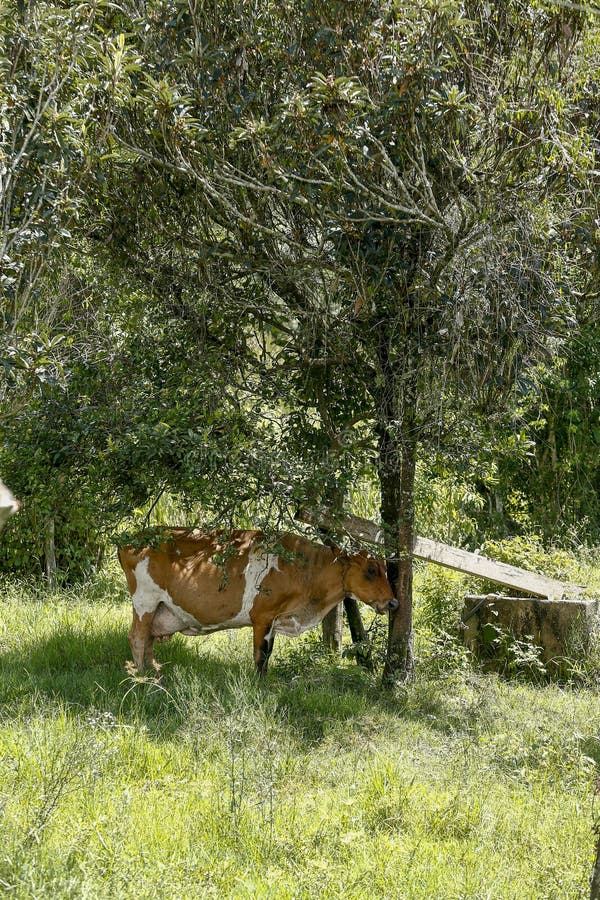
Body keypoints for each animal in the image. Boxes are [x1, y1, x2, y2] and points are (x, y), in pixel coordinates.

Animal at [118, 528, 397, 675]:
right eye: (371, 570)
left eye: (385, 568)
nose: (393, 603)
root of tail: (130, 538)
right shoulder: (263, 615)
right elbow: (260, 655)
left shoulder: (273, 620)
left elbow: (268, 654)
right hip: (145, 601)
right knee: (138, 638)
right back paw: (141, 676)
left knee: (149, 639)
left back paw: (153, 671)